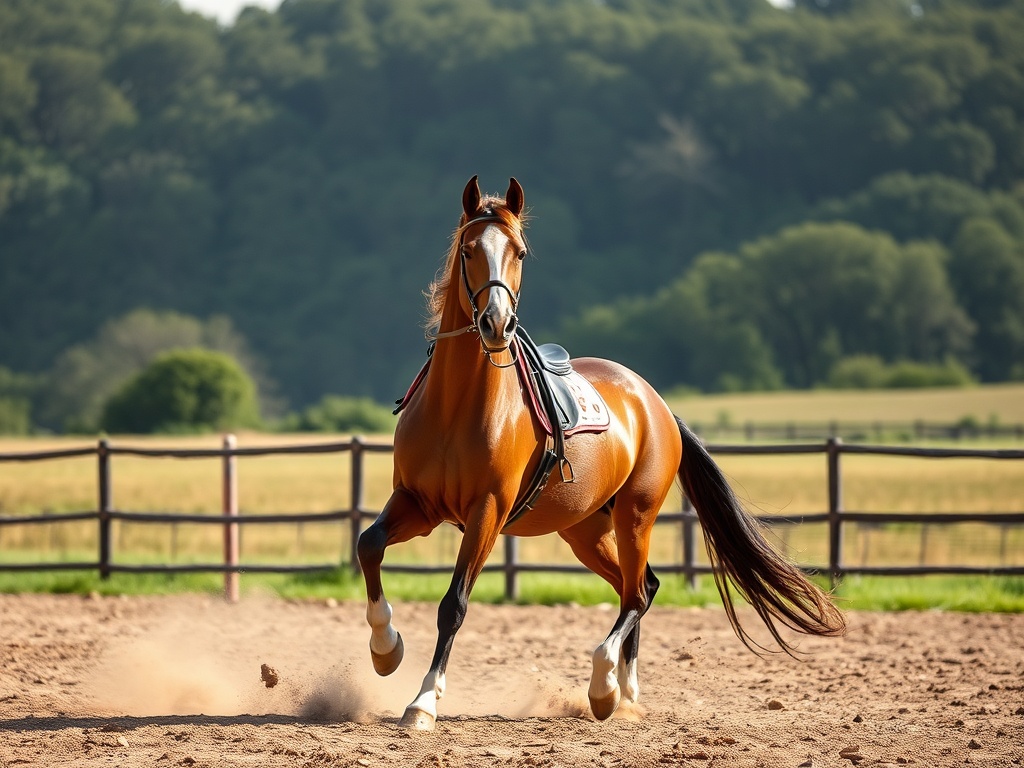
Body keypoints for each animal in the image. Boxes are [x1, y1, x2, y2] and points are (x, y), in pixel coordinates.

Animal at [356, 176, 846, 730]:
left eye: (520, 252)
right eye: (468, 249)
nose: (497, 324)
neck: (456, 405)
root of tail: (655, 404)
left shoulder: (485, 514)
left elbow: (453, 604)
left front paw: (422, 702)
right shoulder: (418, 503)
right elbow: (369, 545)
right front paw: (385, 648)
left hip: (635, 517)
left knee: (637, 592)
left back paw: (604, 687)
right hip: (585, 530)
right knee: (641, 587)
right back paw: (625, 692)